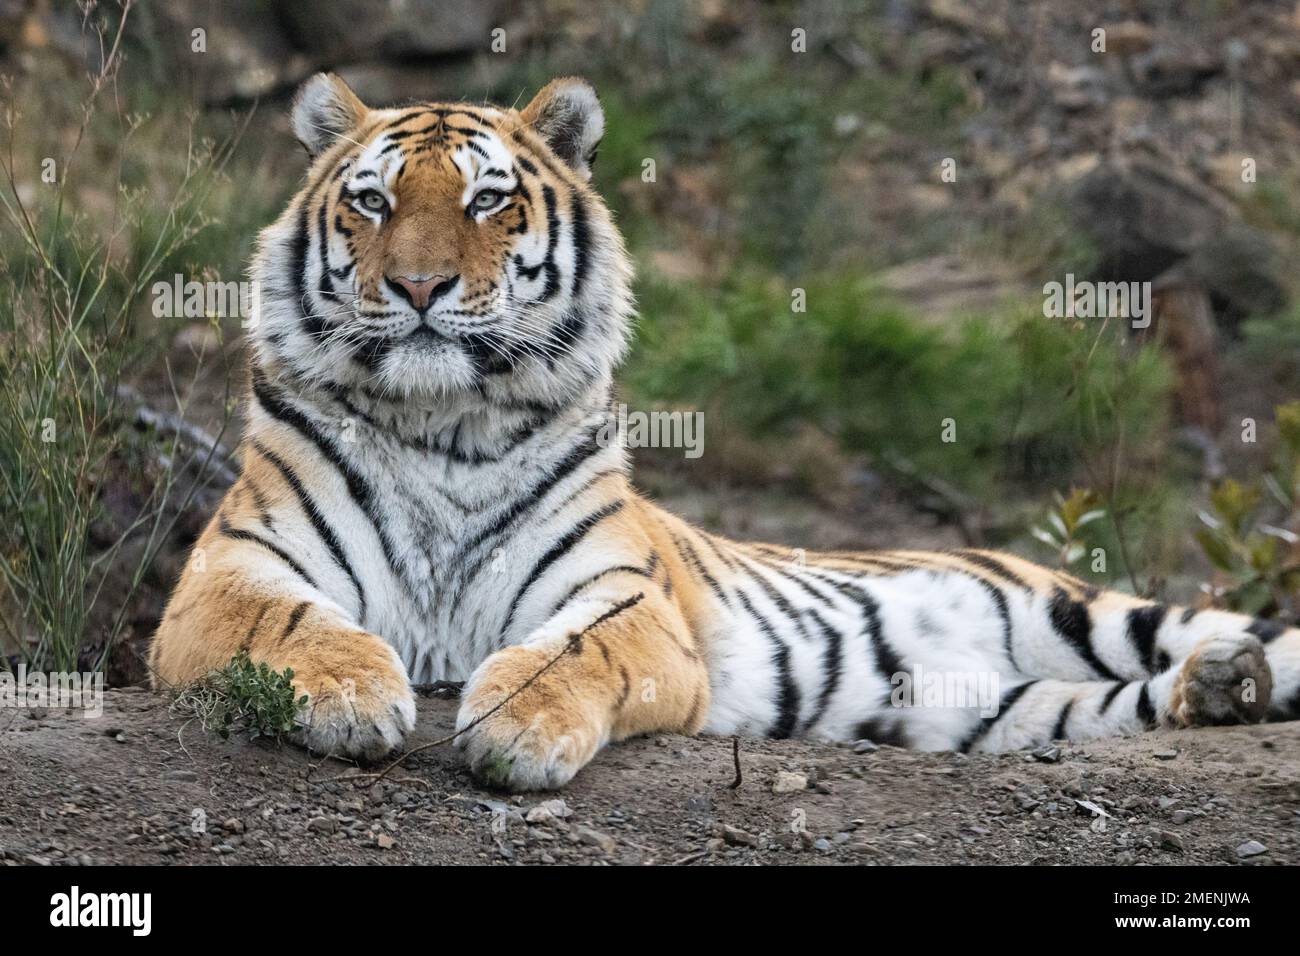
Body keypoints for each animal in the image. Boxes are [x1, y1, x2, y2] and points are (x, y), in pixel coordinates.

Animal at [150, 73, 1300, 791]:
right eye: (373, 202)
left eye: (486, 203)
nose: (421, 286)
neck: (442, 423)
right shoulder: (228, 572)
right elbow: (293, 624)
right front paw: (357, 697)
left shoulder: (624, 597)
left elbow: (567, 653)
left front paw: (515, 728)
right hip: (997, 711)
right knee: (1112, 704)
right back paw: (1216, 691)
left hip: (1080, 607)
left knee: (1214, 635)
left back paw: (1235, 670)